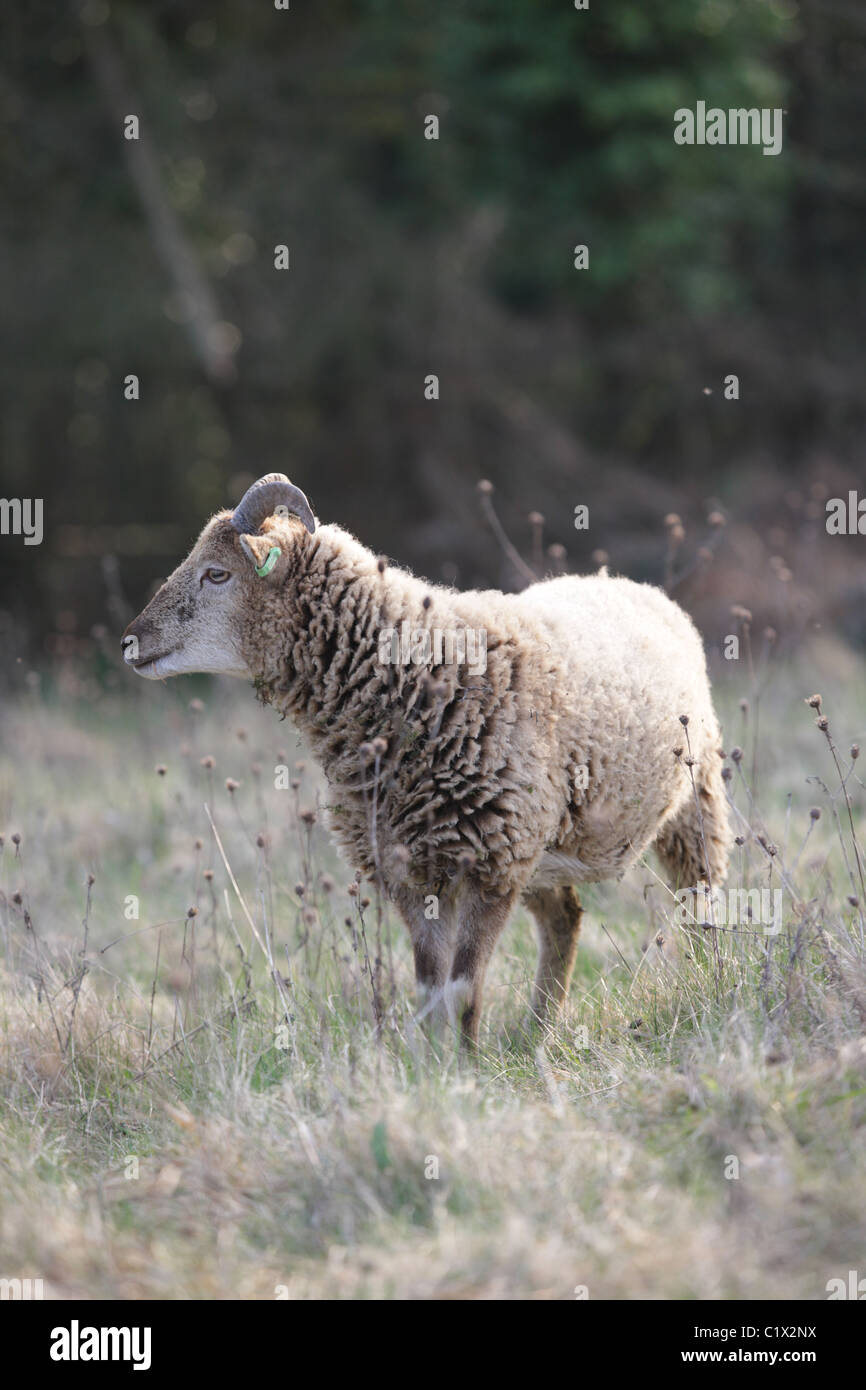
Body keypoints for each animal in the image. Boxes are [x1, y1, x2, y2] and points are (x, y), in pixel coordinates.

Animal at [122, 473, 731, 1045]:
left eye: (217, 574)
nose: (131, 642)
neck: (420, 677)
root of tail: (625, 582)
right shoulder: (413, 871)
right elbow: (429, 989)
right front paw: (433, 1067)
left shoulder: (491, 865)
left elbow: (461, 987)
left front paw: (465, 1069)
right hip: (541, 851)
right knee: (565, 918)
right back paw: (537, 1031)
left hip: (692, 802)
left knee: (701, 899)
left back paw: (703, 985)